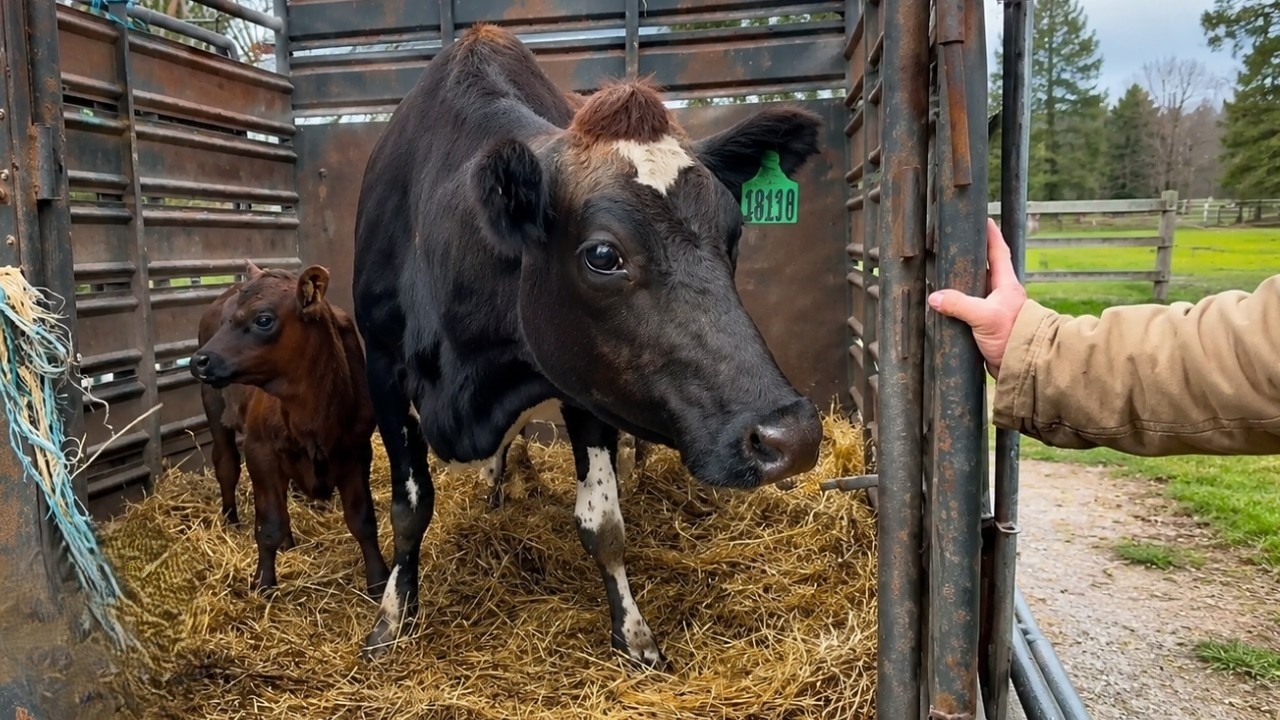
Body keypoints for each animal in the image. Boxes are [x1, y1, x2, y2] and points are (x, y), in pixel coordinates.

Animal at [190, 262, 391, 599]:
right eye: (230, 317)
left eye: (263, 319)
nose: (200, 360)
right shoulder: (260, 449)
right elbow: (269, 524)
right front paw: (264, 583)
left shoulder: (357, 451)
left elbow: (362, 520)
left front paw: (378, 580)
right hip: (215, 410)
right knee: (227, 465)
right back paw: (230, 521)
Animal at [351, 23, 825, 669]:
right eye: (603, 254)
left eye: (733, 235)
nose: (792, 436)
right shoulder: (381, 366)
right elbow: (408, 506)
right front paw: (392, 618)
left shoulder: (586, 387)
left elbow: (603, 523)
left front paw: (634, 636)